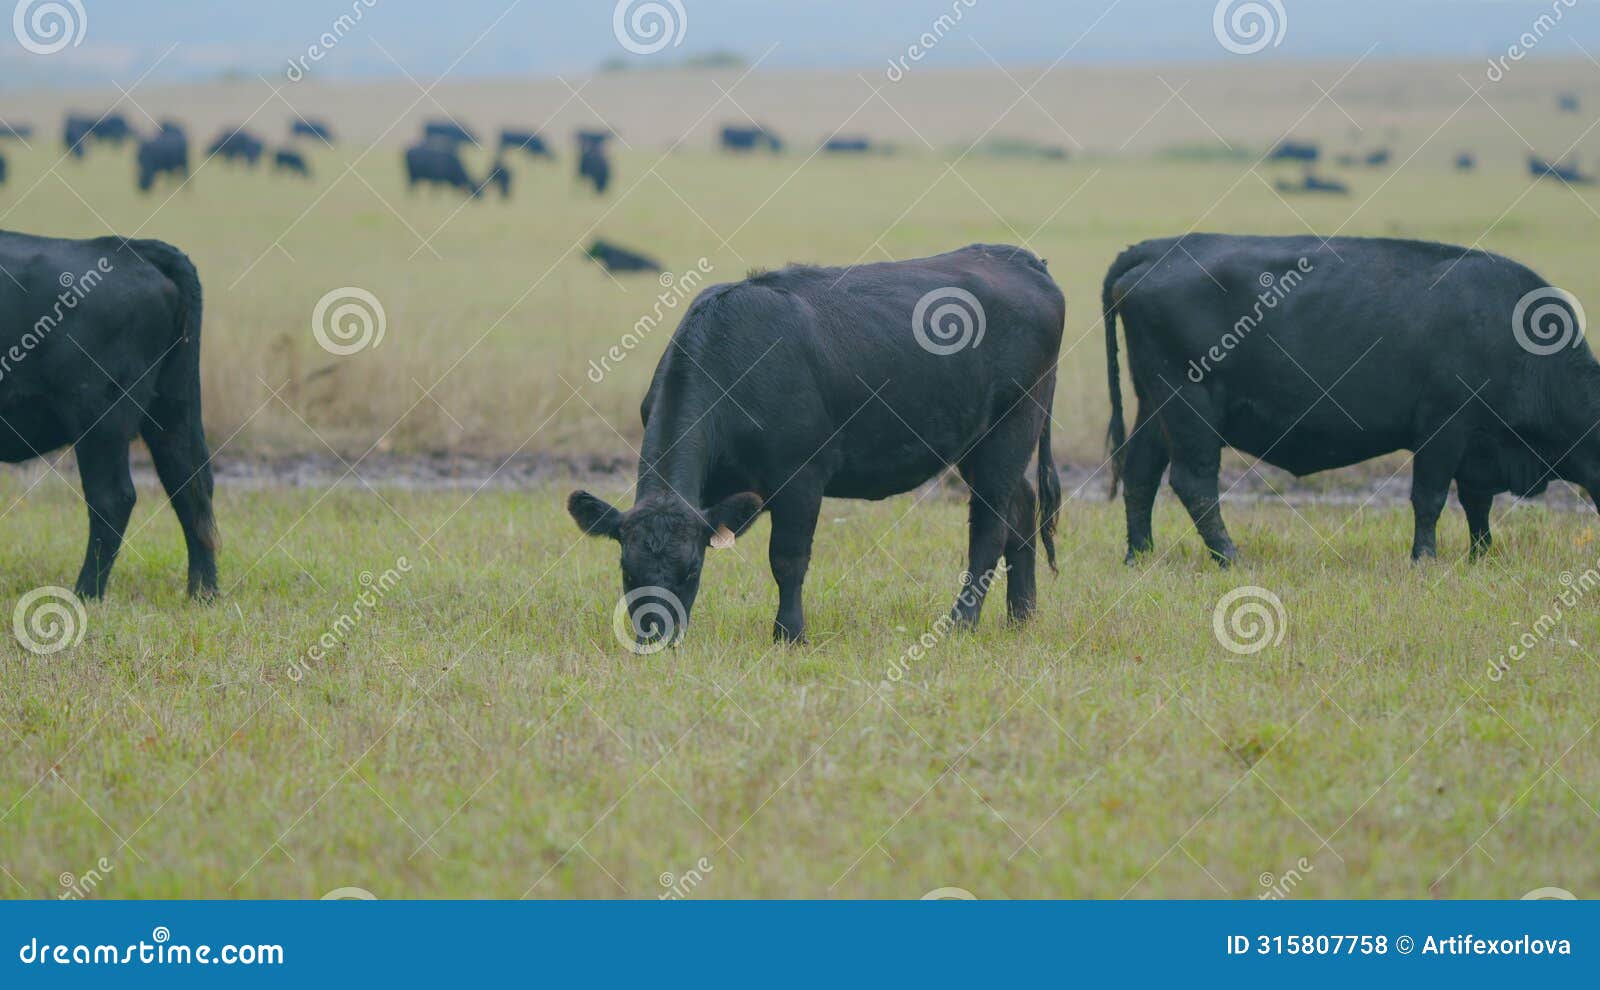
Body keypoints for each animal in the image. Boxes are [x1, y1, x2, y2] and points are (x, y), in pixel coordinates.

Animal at [0, 231, 218, 599]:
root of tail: (128, 246)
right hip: (174, 408)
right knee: (191, 485)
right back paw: (204, 592)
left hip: (100, 420)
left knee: (113, 498)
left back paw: (85, 593)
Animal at [568, 244, 1064, 647]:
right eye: (627, 570)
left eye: (690, 570)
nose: (655, 637)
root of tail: (1020, 258)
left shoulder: (801, 477)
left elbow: (787, 559)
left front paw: (789, 634)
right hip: (977, 443)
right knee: (1022, 509)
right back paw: (1021, 618)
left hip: (1012, 427)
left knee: (991, 528)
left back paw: (962, 623)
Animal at [1104, 233, 1600, 566]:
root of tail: (1160, 248)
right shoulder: (1443, 429)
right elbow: (1431, 498)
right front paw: (1425, 559)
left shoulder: (1478, 445)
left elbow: (1476, 503)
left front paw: (1483, 556)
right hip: (1190, 409)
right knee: (1193, 483)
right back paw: (1231, 558)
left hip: (1154, 408)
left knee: (1140, 474)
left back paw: (1139, 555)